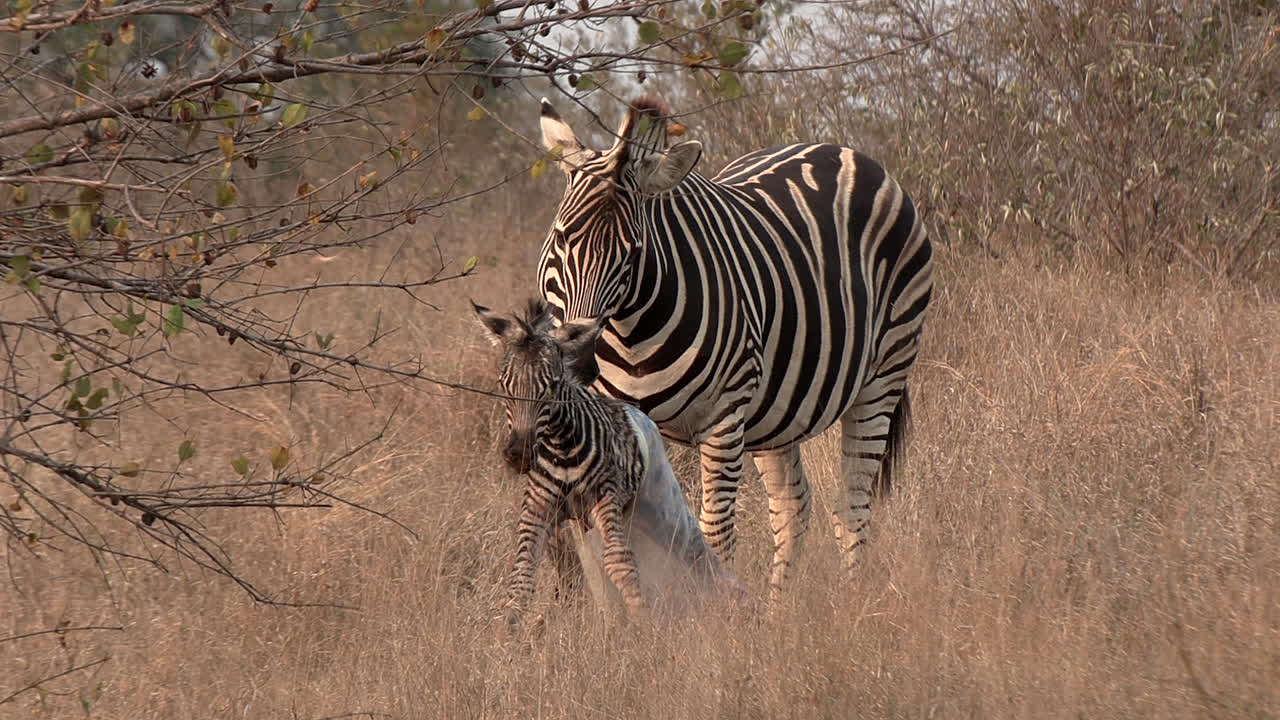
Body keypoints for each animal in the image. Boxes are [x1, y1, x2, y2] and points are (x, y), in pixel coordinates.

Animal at [535, 95, 934, 600]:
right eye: (561, 237)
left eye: (634, 251)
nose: (577, 355)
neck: (630, 333)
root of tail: (842, 150)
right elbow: (602, 544)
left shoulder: (722, 419)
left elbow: (712, 535)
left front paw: (714, 622)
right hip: (778, 407)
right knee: (793, 508)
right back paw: (778, 614)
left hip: (884, 374)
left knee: (852, 506)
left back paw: (852, 604)